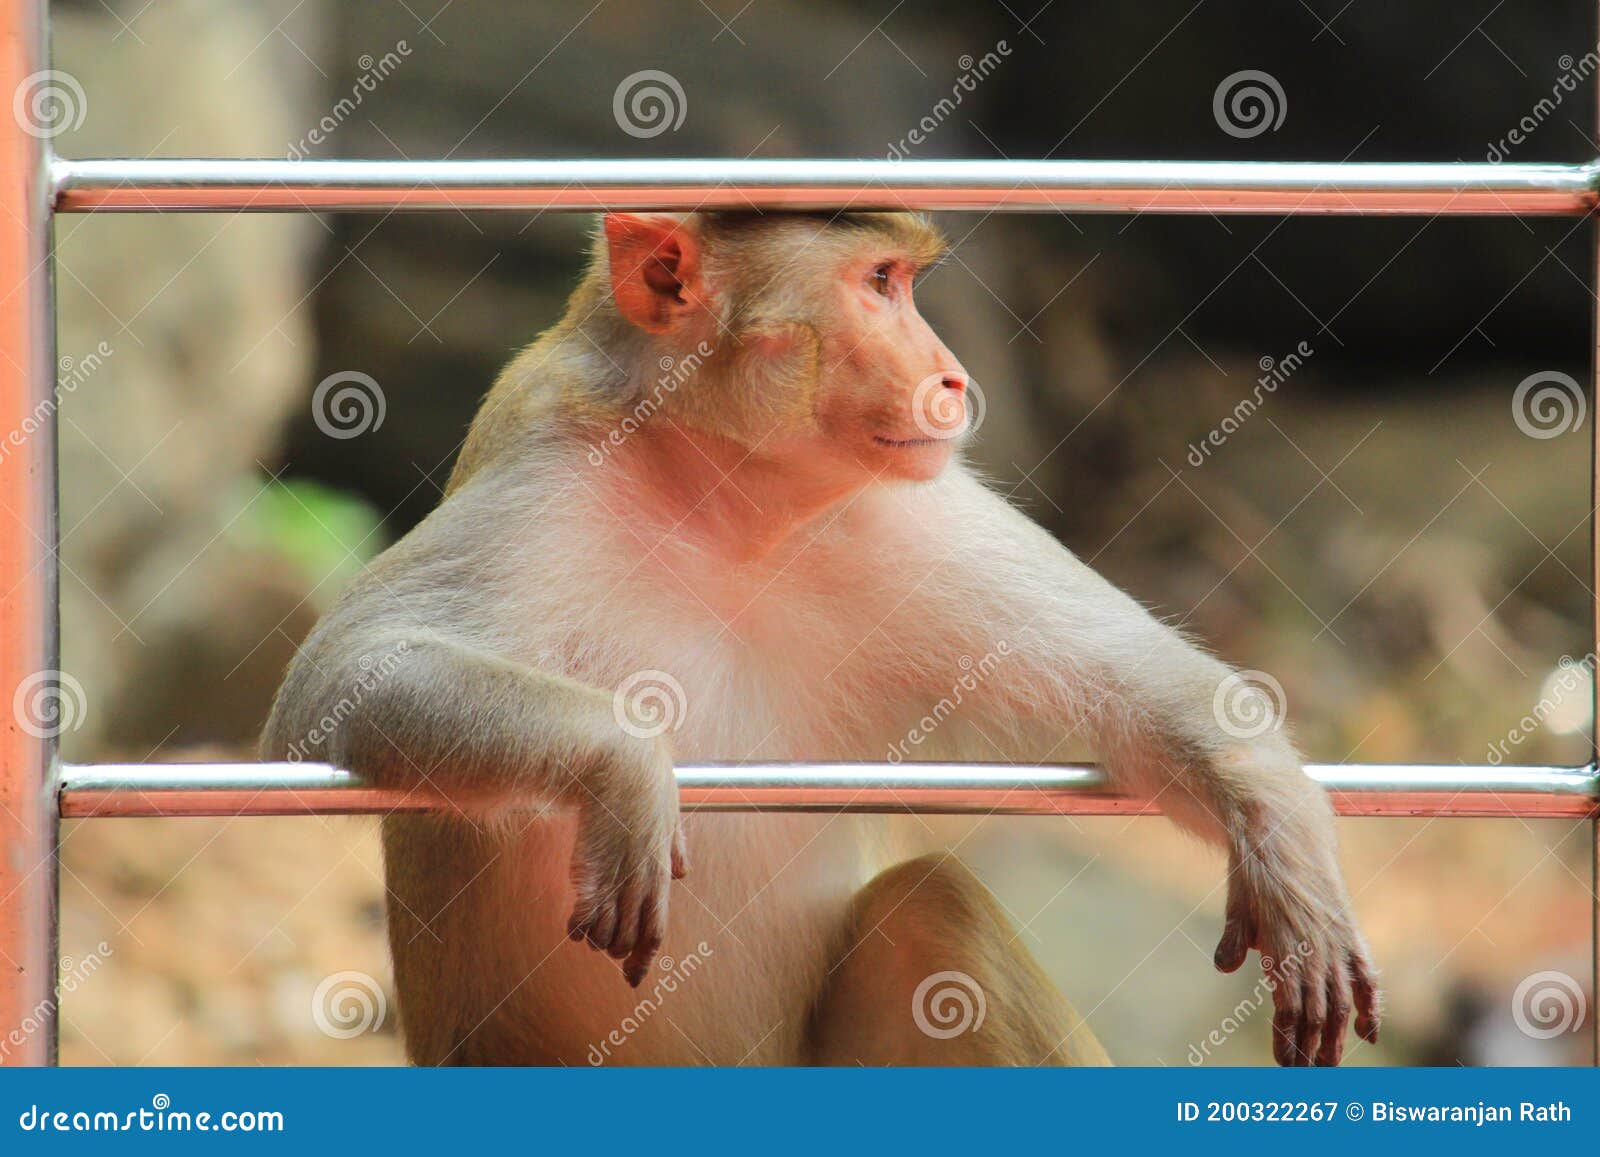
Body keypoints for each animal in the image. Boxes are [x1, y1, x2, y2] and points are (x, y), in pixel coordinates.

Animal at [262, 210, 1380, 1067]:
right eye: (878, 282)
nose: (953, 380)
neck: (720, 505)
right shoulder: (544, 474)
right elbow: (341, 680)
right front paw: (623, 765)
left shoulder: (906, 512)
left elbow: (1147, 691)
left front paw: (1282, 846)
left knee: (934, 906)